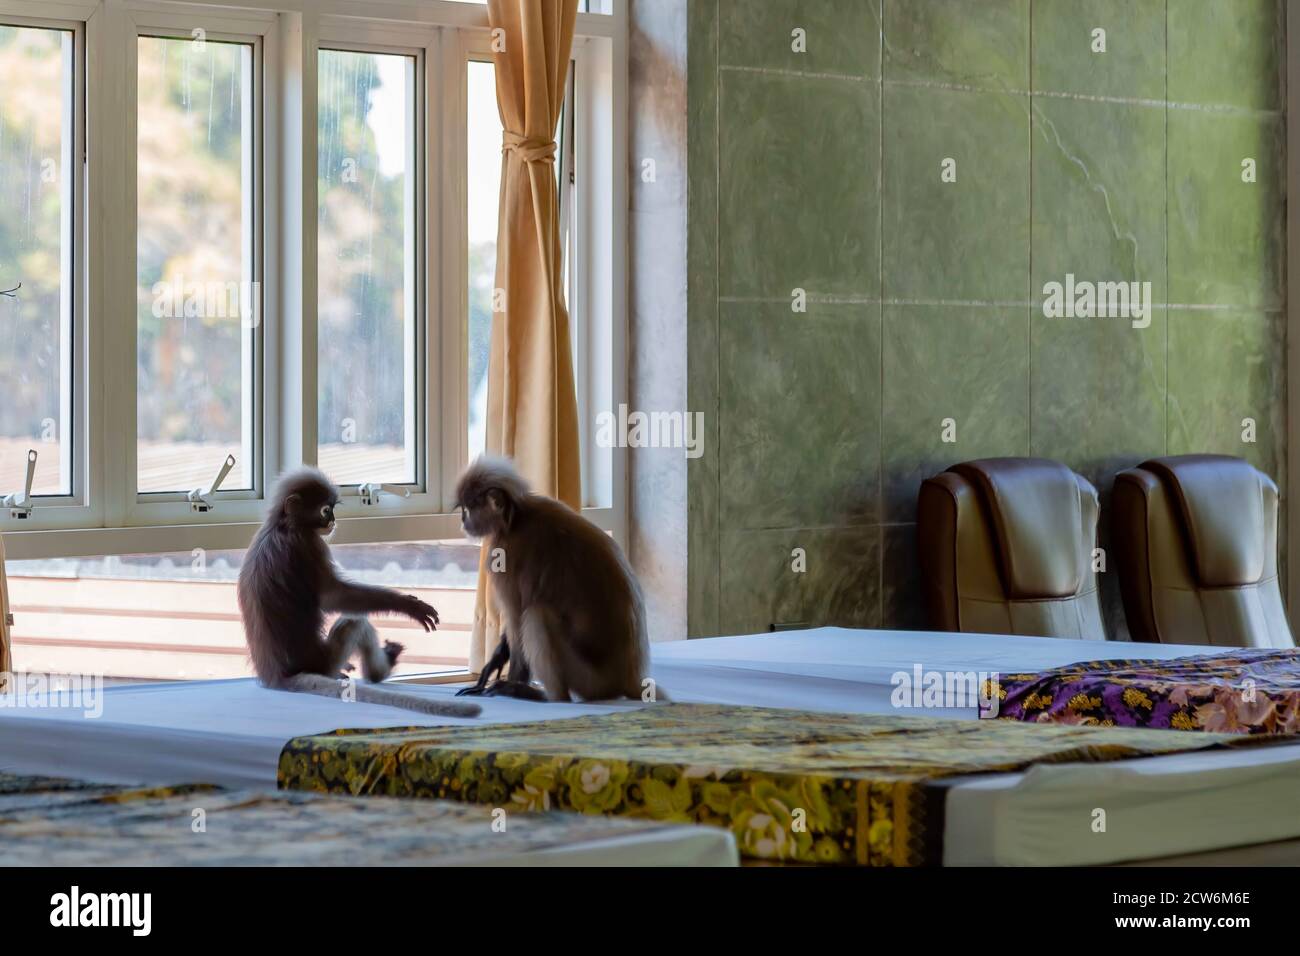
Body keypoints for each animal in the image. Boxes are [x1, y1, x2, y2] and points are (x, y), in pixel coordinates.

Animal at [237, 468, 481, 718]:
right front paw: (409, 605)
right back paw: (379, 670)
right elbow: (333, 596)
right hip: (324, 662)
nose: (333, 520)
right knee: (356, 623)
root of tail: (278, 676)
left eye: (332, 509)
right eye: (326, 510)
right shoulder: (310, 543)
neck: (282, 526)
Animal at [452, 457, 657, 703]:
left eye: (468, 509)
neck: (517, 518)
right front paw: (493, 664)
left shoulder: (507, 552)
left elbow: (517, 618)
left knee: (536, 614)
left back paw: (547, 696)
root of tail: (628, 678)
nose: (463, 519)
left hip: (589, 679)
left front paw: (511, 681)